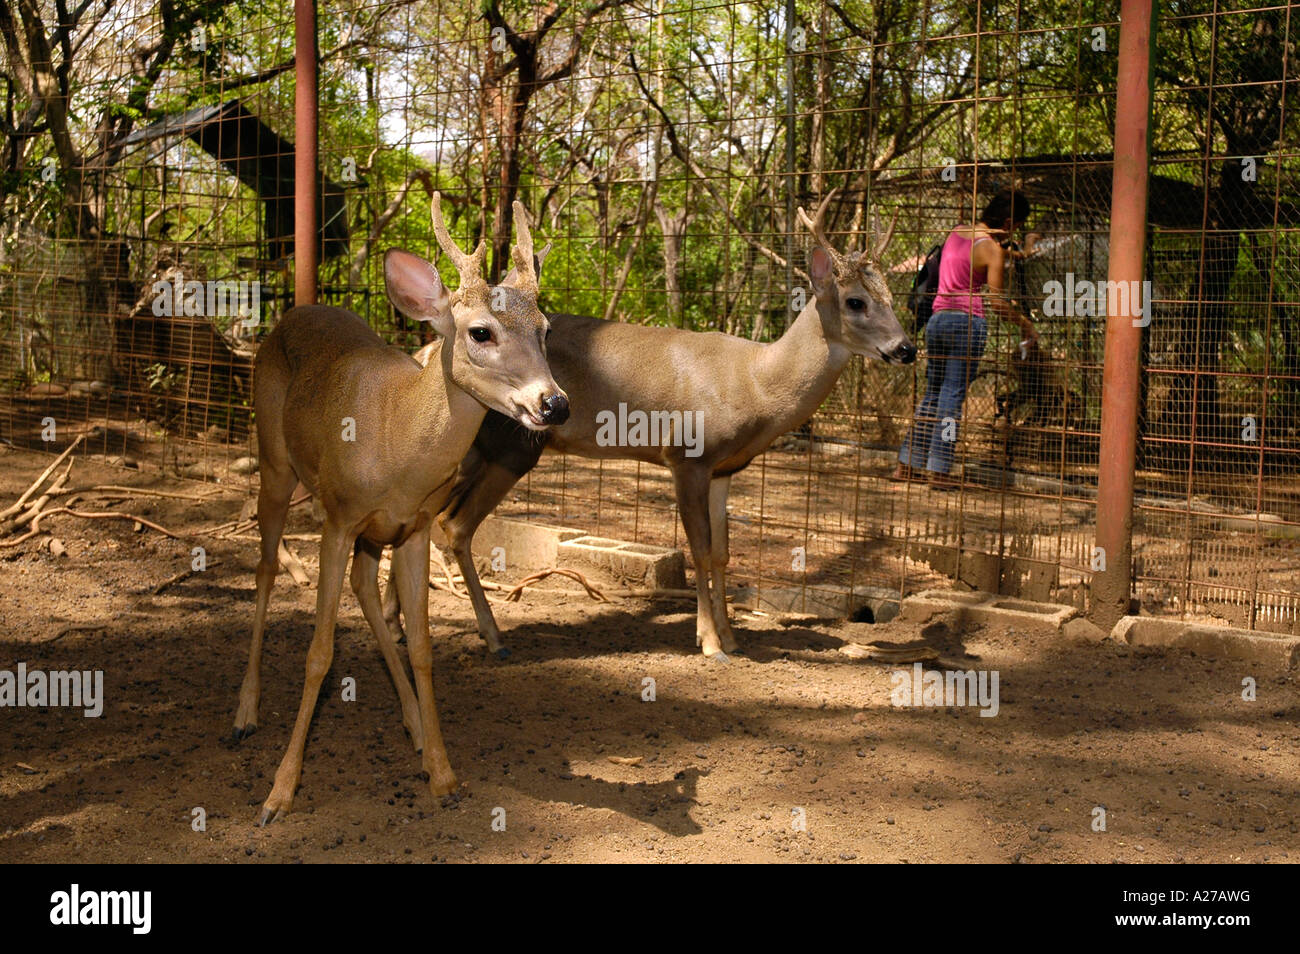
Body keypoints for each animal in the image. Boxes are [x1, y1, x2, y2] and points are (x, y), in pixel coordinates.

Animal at [234, 193, 568, 824]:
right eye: (480, 331)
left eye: (544, 329)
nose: (554, 403)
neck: (397, 445)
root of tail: (291, 313)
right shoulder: (338, 517)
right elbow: (320, 652)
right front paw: (278, 793)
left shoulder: (413, 527)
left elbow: (421, 646)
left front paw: (443, 772)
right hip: (274, 459)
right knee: (265, 566)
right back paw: (244, 712)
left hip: (369, 529)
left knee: (364, 586)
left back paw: (412, 725)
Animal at [385, 193, 915, 660]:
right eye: (855, 302)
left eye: (891, 297)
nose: (907, 348)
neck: (756, 383)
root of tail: (428, 351)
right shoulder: (687, 457)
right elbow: (699, 550)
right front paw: (711, 644)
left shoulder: (726, 468)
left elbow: (722, 553)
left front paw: (733, 638)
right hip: (509, 448)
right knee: (455, 524)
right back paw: (491, 637)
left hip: (475, 451)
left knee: (427, 514)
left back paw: (397, 625)